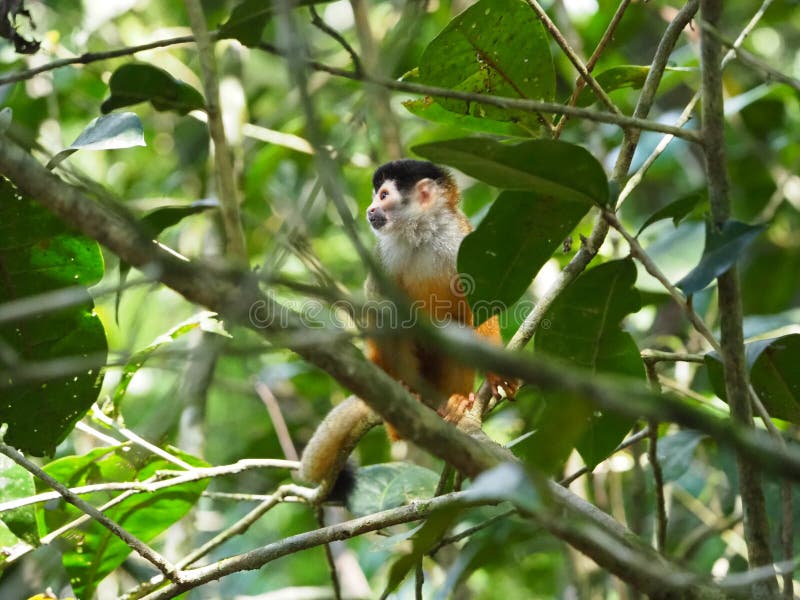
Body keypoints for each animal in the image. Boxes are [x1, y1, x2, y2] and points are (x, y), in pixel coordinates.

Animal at [298, 160, 515, 499]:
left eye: (384, 195)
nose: (371, 209)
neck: (421, 234)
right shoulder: (382, 255)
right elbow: (384, 314)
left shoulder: (461, 238)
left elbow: (481, 305)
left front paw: (496, 374)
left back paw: (454, 401)